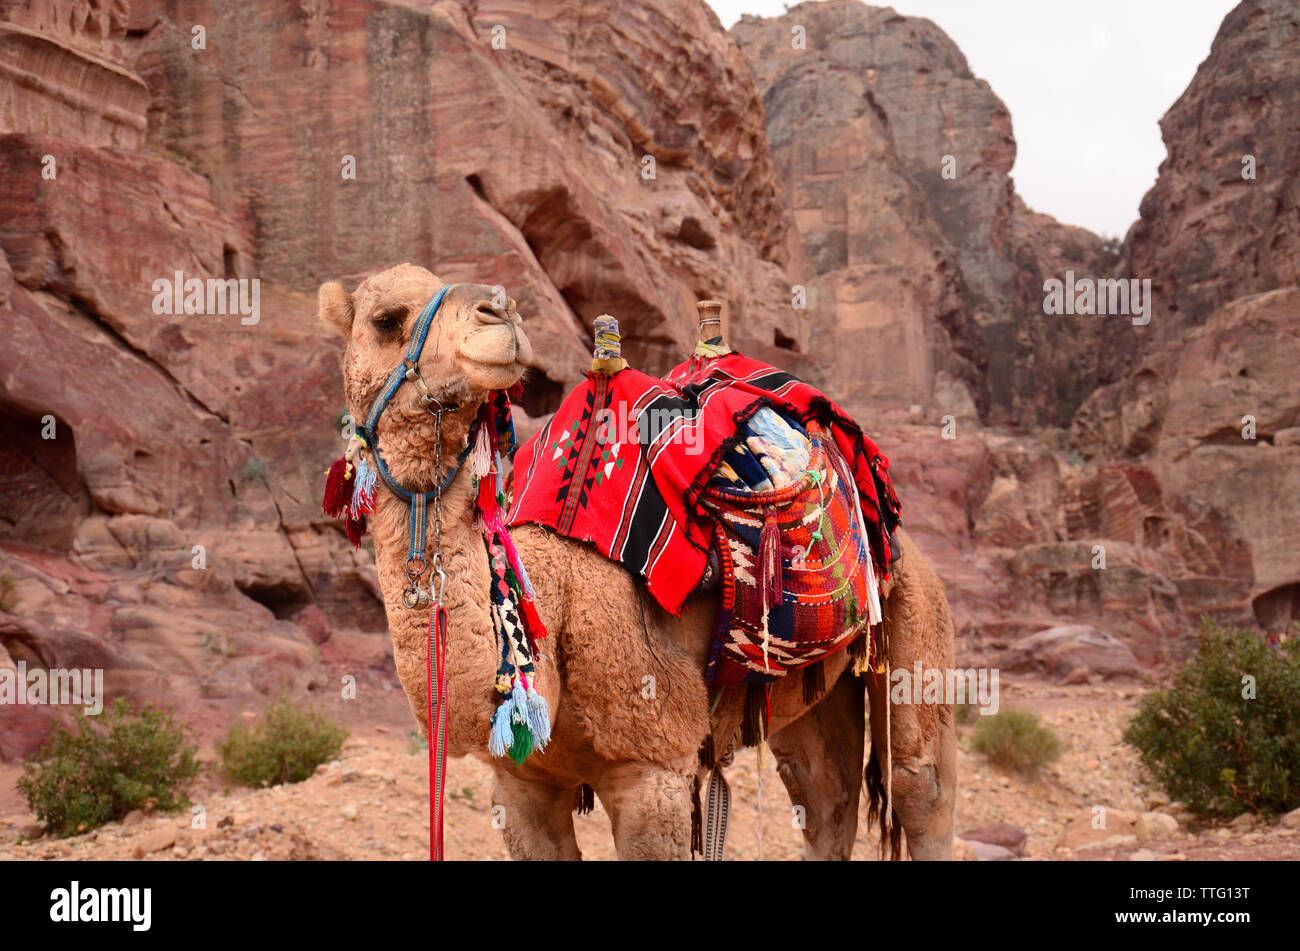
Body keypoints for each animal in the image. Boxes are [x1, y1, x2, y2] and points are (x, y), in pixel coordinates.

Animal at [319, 264, 956, 860]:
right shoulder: (519, 787)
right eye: (386, 320)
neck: (553, 613)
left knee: (919, 786)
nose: (499, 312)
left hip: (918, 614)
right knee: (825, 796)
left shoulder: (653, 767)